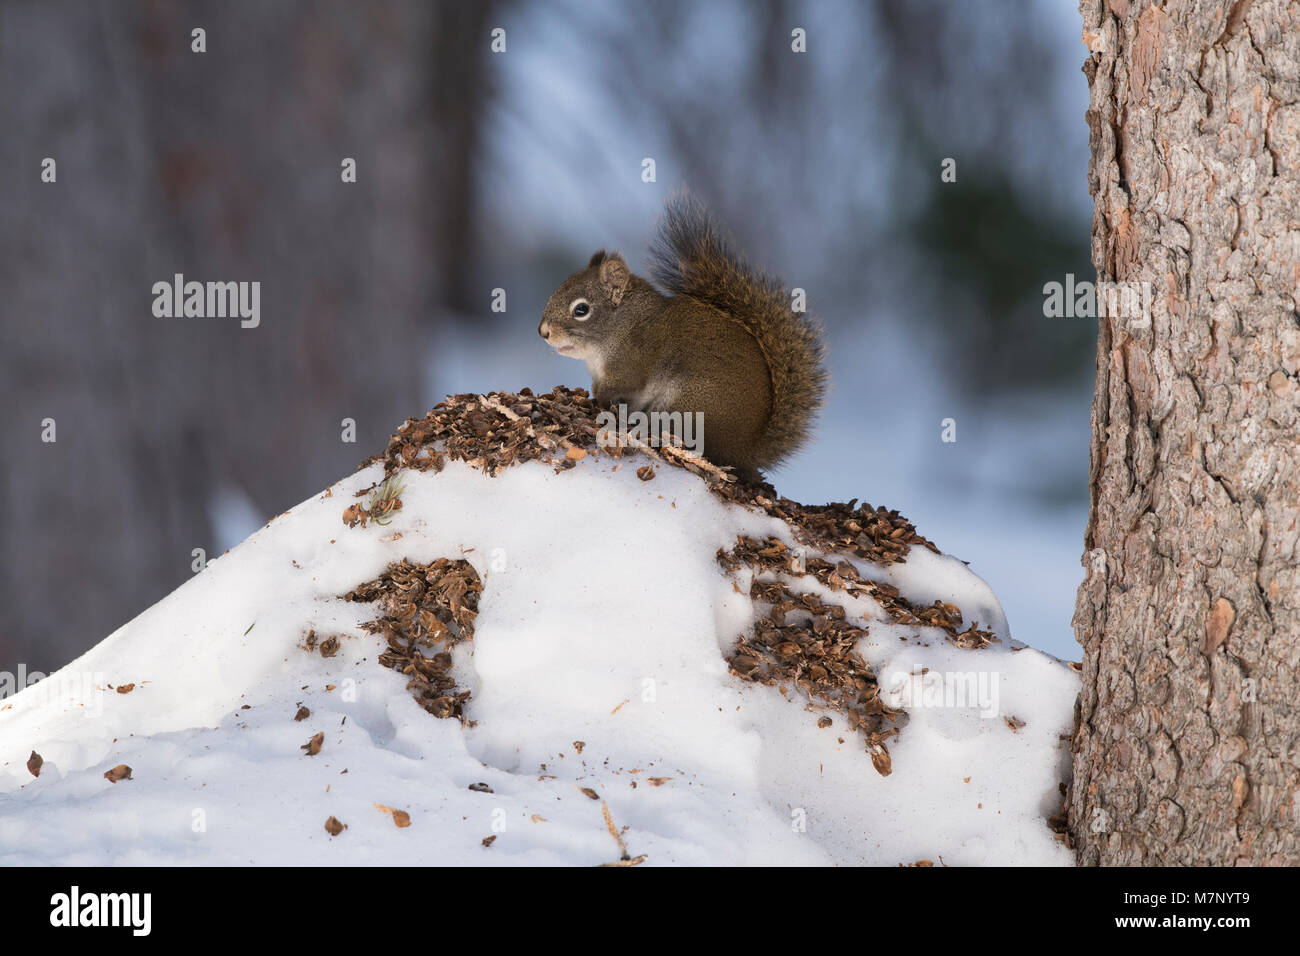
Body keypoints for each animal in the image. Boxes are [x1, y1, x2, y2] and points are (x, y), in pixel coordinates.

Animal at [538, 194, 826, 480]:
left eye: (581, 310)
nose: (543, 332)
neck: (622, 325)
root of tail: (745, 450)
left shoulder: (631, 363)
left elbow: (620, 386)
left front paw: (600, 397)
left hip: (688, 404)